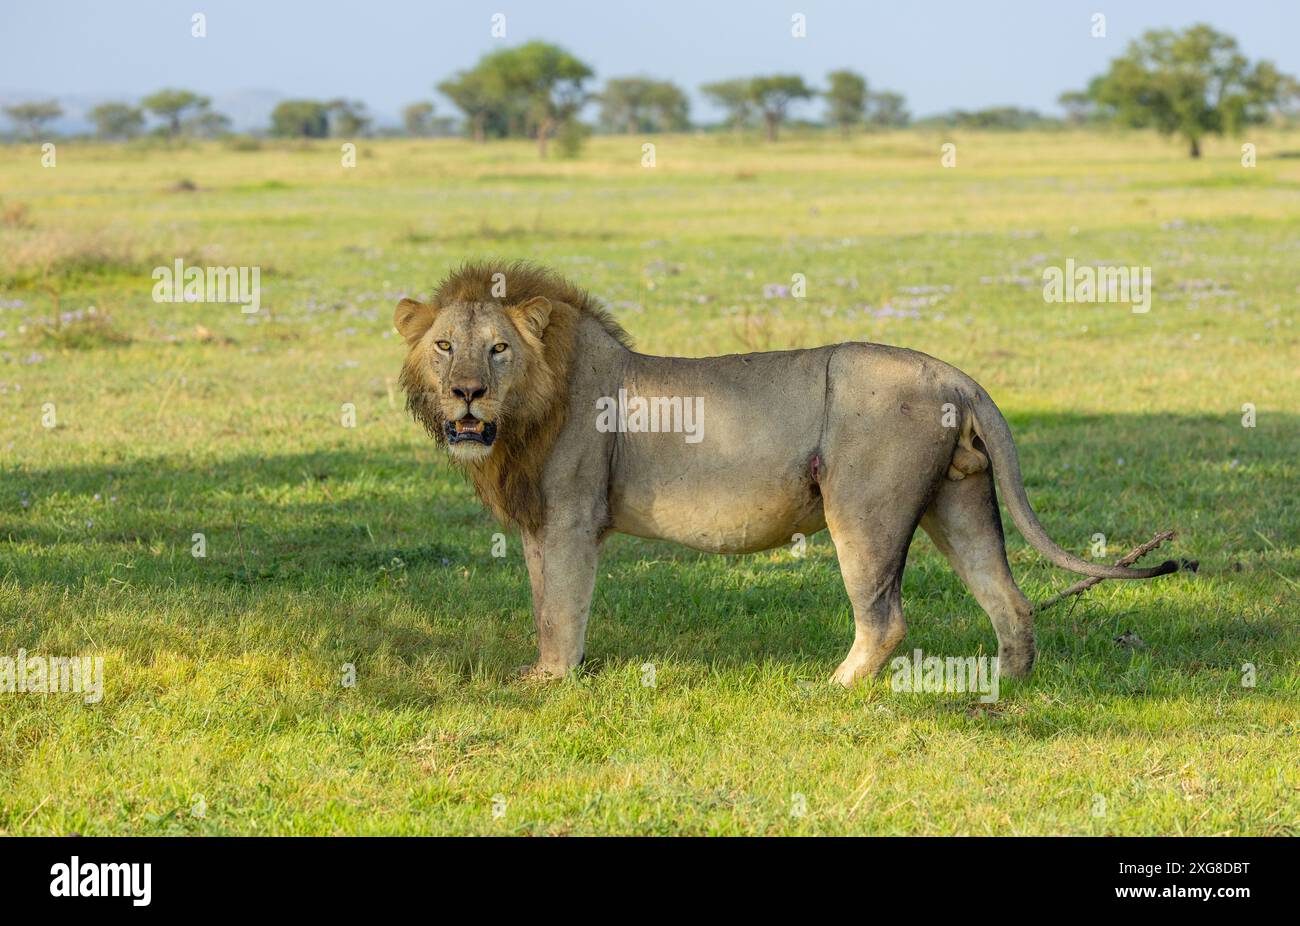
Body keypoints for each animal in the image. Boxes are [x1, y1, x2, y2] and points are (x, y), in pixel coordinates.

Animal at [395, 261, 1180, 685]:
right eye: (444, 347)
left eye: (497, 348)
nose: (467, 393)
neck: (528, 412)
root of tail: (955, 376)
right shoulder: (536, 523)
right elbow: (541, 606)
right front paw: (541, 671)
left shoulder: (568, 520)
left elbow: (561, 607)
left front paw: (554, 682)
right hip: (958, 500)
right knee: (1010, 601)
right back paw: (1004, 689)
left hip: (861, 508)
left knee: (885, 617)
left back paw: (832, 688)